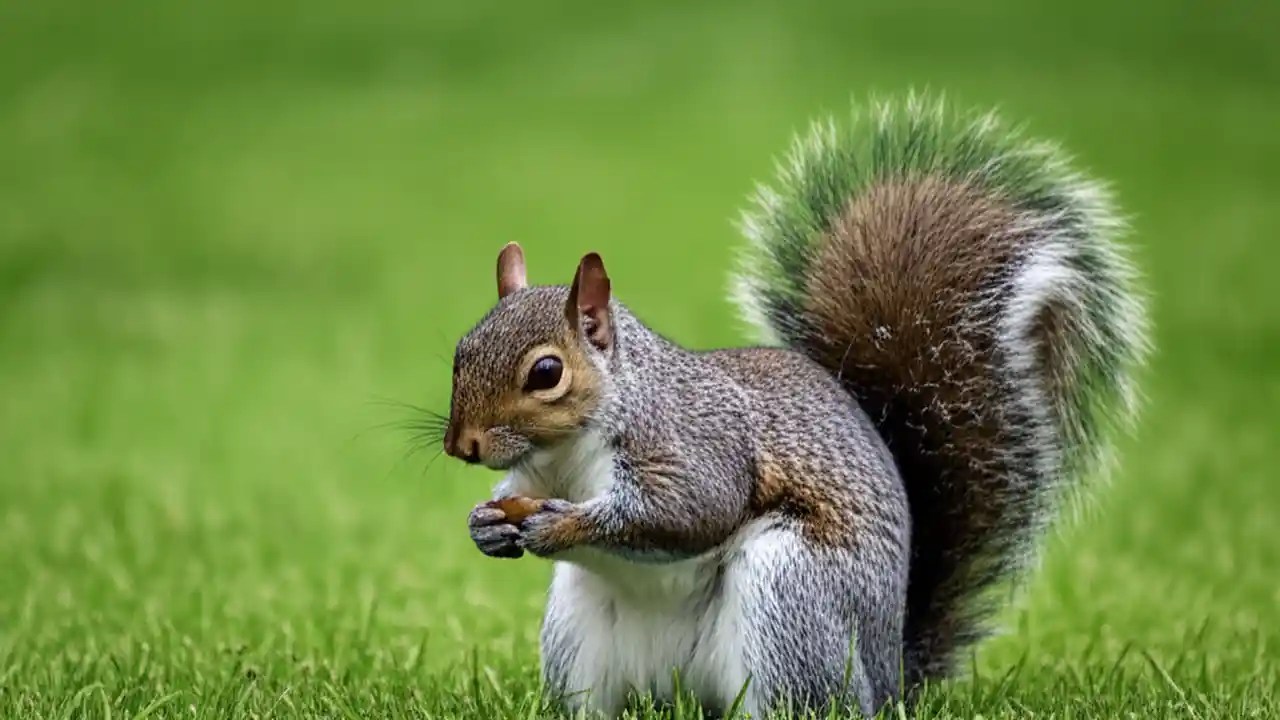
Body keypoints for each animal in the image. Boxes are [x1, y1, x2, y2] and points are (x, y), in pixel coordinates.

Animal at [441, 95, 1149, 719]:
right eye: (460, 350)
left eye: (547, 373)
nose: (461, 446)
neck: (569, 451)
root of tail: (889, 678)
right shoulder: (535, 475)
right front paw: (484, 523)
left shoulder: (695, 443)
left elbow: (689, 510)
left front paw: (561, 527)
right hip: (578, 638)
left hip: (789, 599)